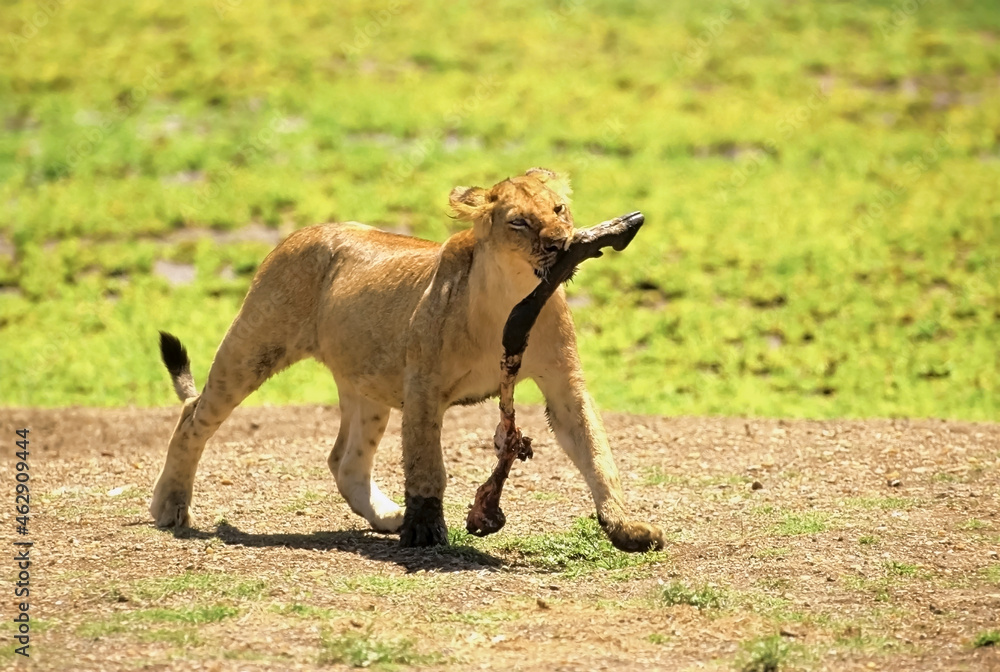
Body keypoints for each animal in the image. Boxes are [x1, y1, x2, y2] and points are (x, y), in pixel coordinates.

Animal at [150, 167, 664, 552]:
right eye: (518, 222)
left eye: (559, 210)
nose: (560, 242)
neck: (512, 294)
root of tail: (300, 232)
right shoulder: (423, 384)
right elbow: (426, 464)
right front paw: (425, 530)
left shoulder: (564, 384)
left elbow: (597, 454)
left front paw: (626, 528)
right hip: (254, 347)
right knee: (193, 416)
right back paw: (169, 507)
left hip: (368, 383)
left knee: (345, 459)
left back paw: (386, 516)